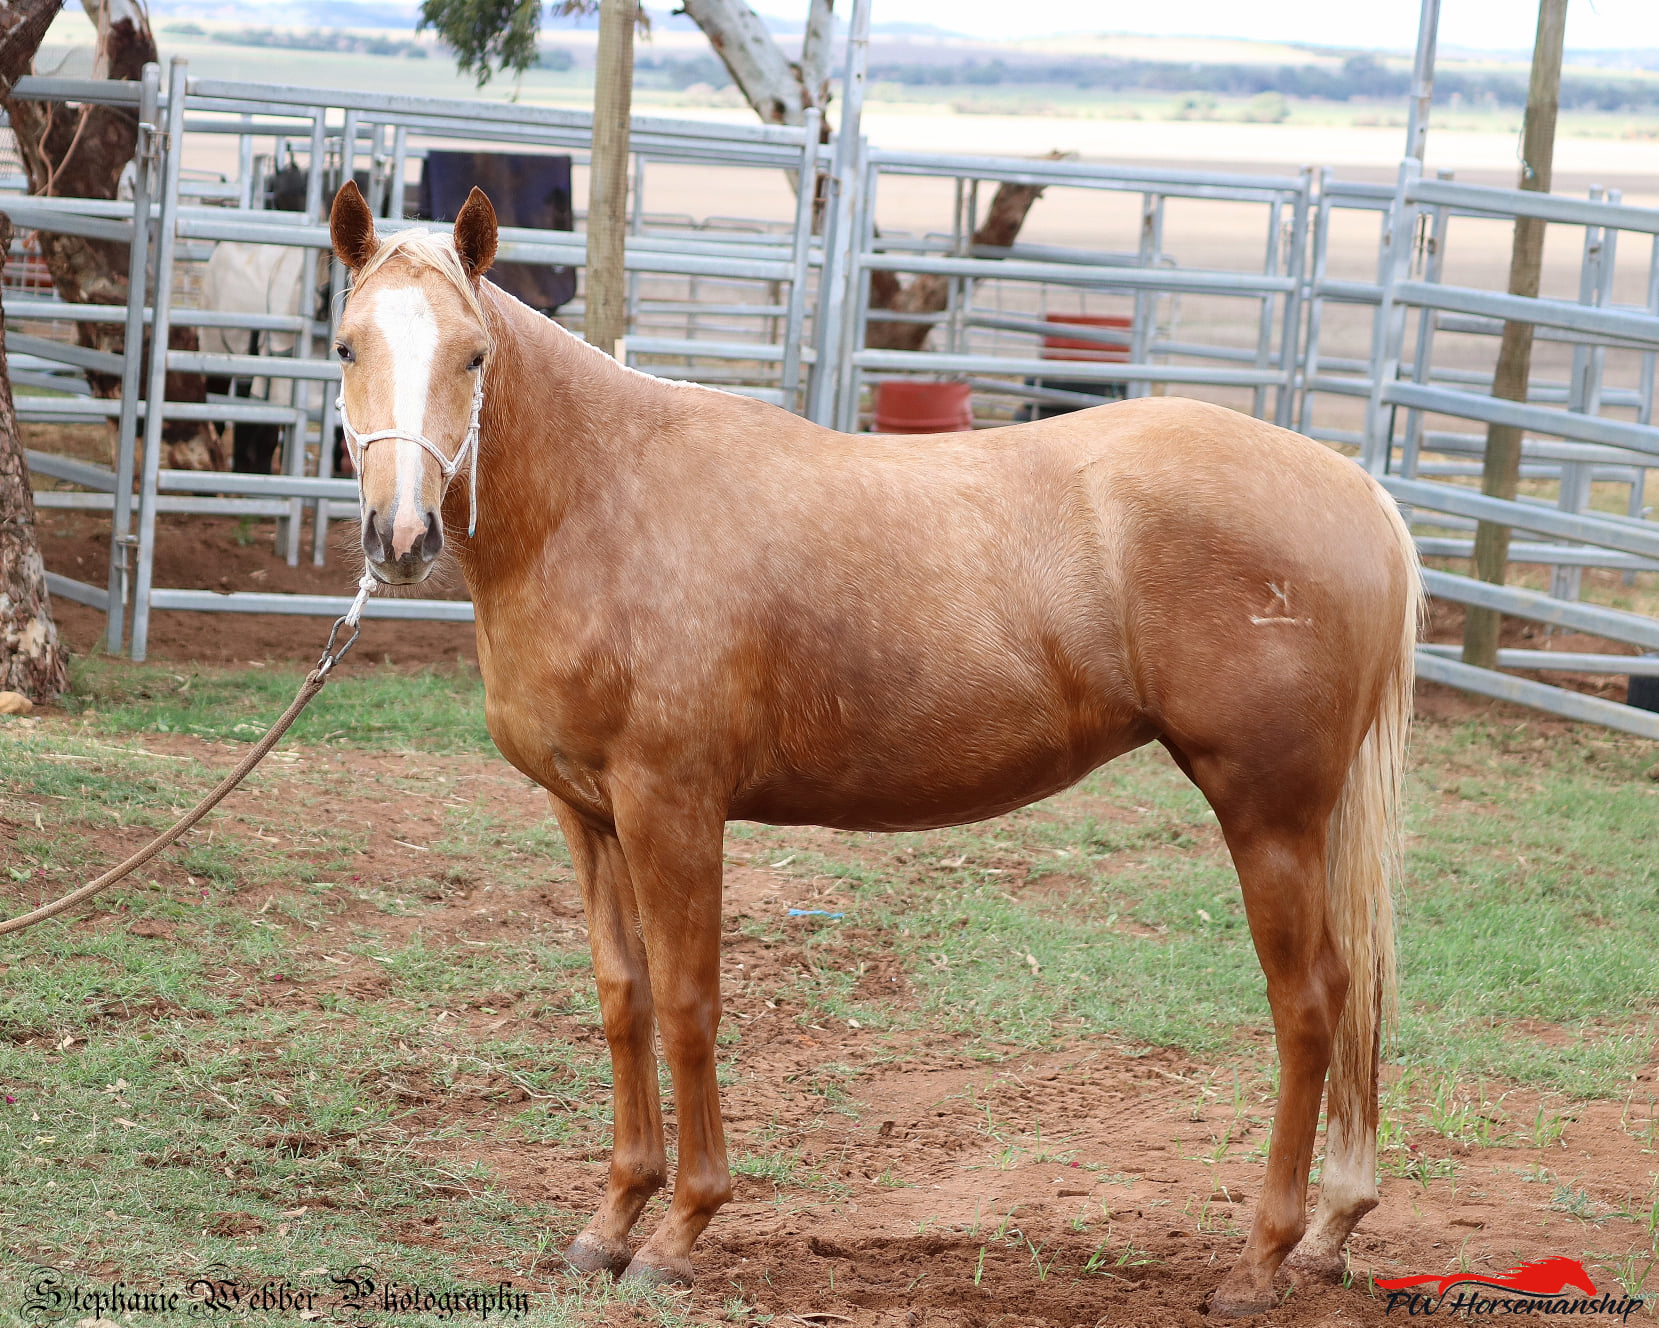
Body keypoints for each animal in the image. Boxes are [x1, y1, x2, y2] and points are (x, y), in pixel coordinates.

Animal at [326, 179, 1421, 1317]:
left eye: (474, 355)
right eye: (348, 344)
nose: (398, 537)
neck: (600, 501)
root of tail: (1358, 494)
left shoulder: (673, 806)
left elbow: (687, 1002)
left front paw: (678, 1233)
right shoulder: (589, 812)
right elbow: (626, 999)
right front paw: (610, 1223)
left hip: (1268, 814)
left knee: (1309, 1005)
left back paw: (1260, 1257)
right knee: (1346, 1002)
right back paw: (1326, 1231)